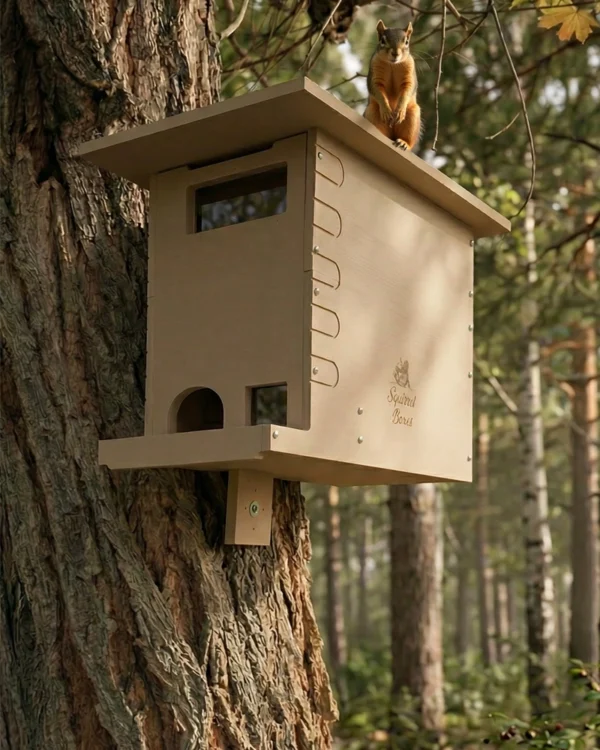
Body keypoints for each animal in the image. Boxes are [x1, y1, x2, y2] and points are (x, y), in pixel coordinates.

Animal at [364, 20, 422, 152]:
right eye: (382, 40)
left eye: (406, 42)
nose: (395, 53)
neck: (393, 65)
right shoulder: (374, 74)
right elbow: (377, 90)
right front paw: (386, 109)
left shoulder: (410, 74)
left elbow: (408, 89)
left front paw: (399, 109)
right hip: (372, 113)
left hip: (412, 117)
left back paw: (403, 143)